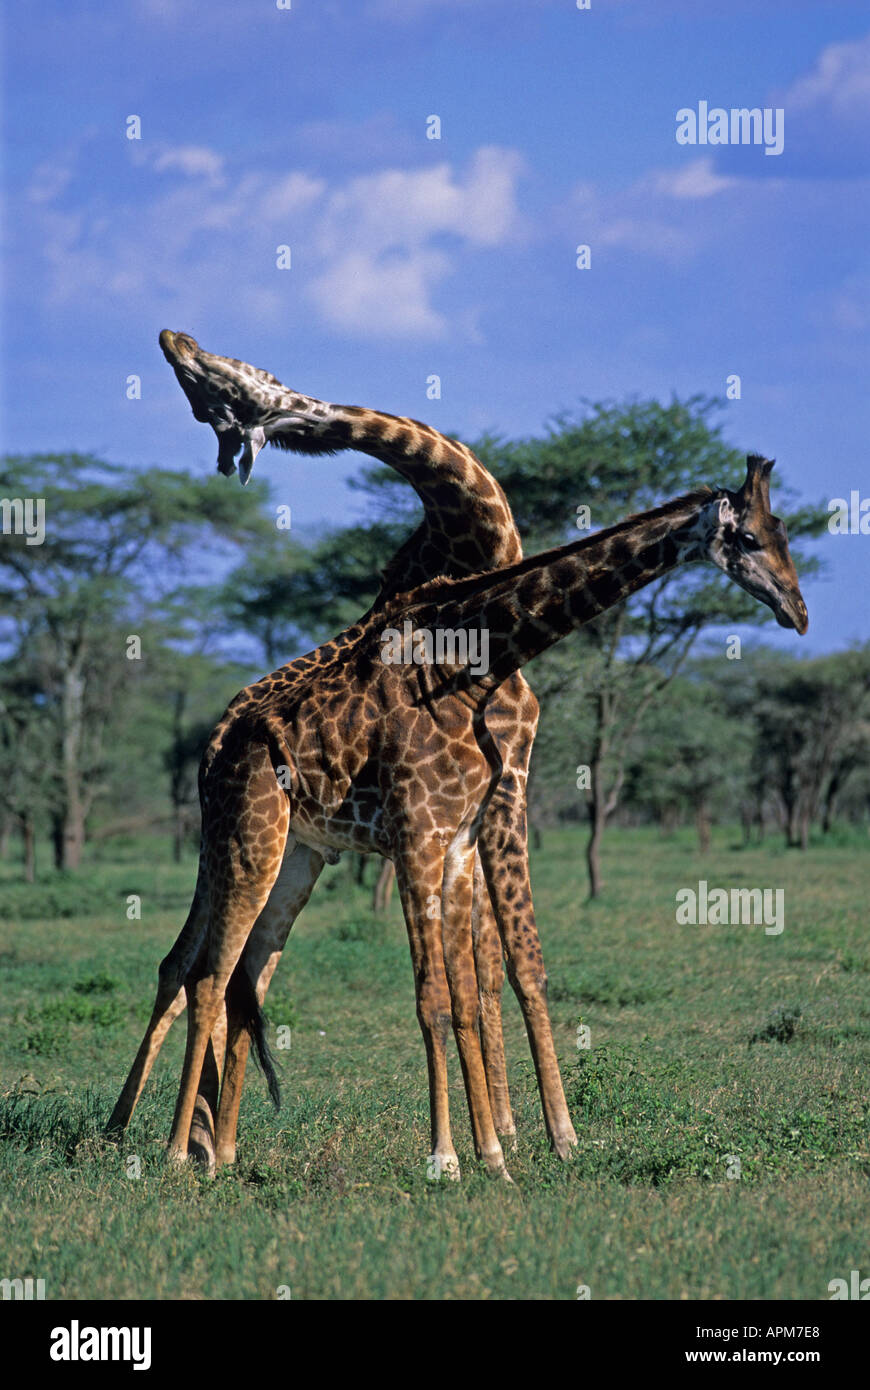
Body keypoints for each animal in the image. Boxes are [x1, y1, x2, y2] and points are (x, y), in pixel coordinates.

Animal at [144, 453, 808, 1181]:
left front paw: (492, 1155)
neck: (473, 658)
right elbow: (431, 1001)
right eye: (749, 538)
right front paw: (446, 1158)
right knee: (206, 977)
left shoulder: (457, 843)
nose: (799, 611)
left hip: (295, 858)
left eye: (784, 533)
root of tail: (213, 749)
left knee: (242, 982)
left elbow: (464, 999)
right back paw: (175, 1155)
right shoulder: (416, 836)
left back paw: (225, 1153)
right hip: (248, 841)